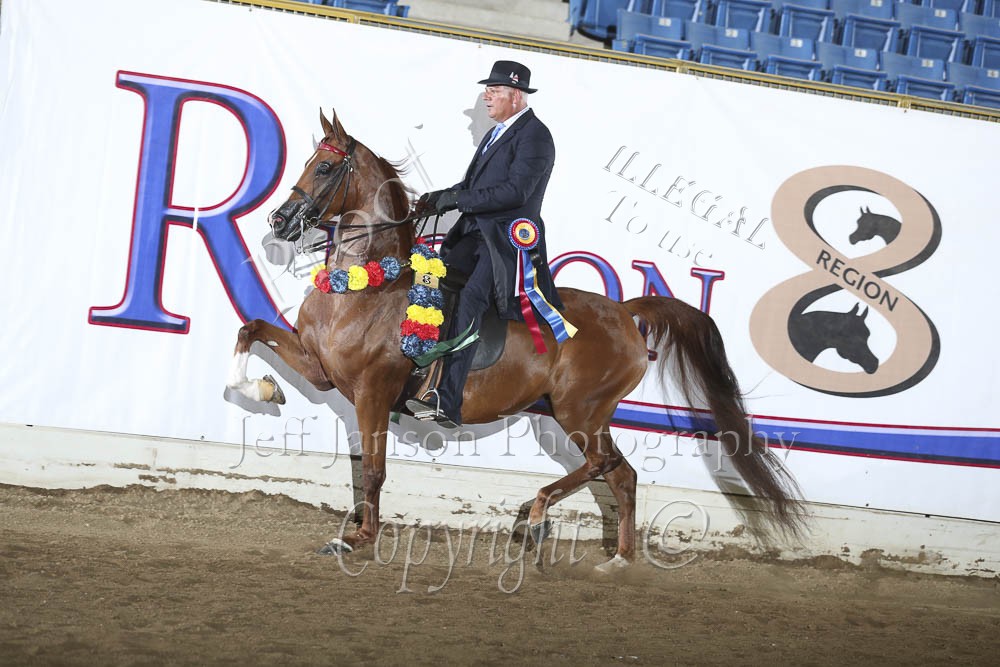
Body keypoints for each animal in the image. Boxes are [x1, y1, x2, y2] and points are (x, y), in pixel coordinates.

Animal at [226, 109, 803, 569]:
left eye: (324, 168)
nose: (280, 219)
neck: (369, 284)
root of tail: (623, 310)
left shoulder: (372, 393)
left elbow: (372, 470)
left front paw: (359, 539)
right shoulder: (320, 369)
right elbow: (249, 328)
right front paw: (259, 390)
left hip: (578, 410)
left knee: (604, 466)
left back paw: (536, 515)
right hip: (583, 414)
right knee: (623, 476)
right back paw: (618, 560)